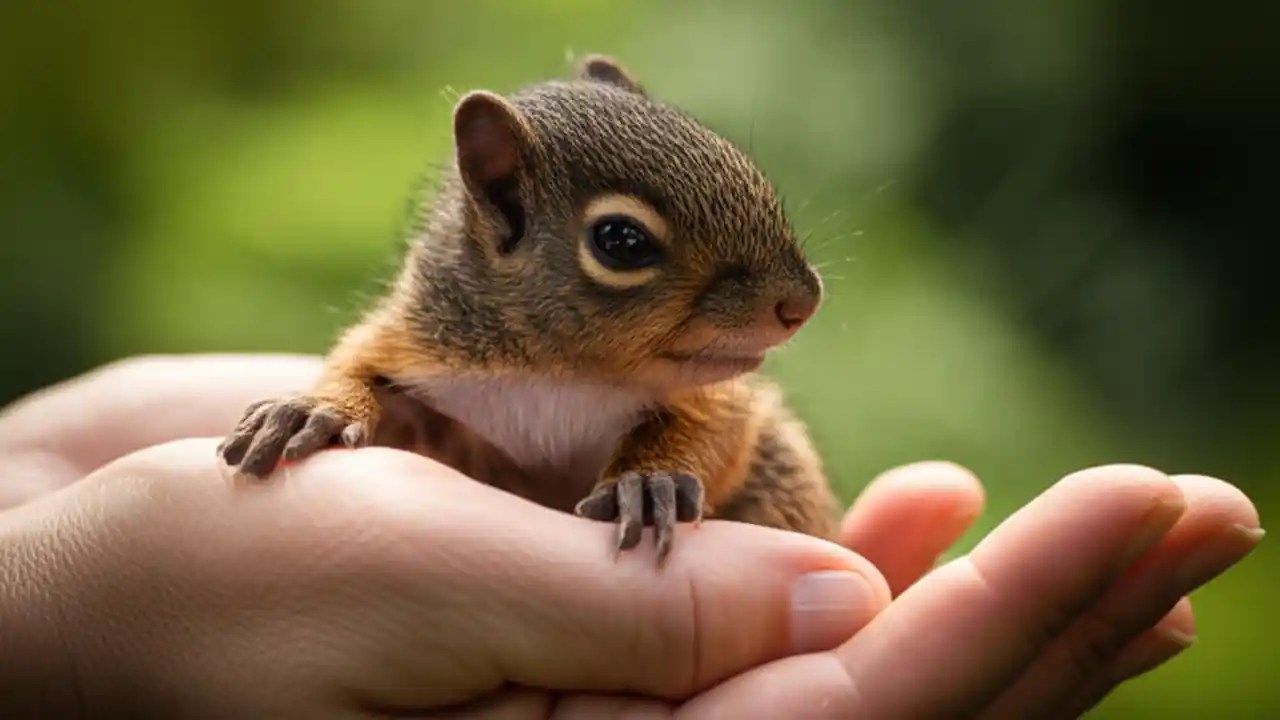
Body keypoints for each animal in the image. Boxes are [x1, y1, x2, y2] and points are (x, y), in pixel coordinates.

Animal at [217, 54, 841, 561]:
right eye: (622, 241)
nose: (803, 301)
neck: (557, 373)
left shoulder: (715, 394)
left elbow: (716, 426)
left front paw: (648, 479)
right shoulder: (421, 357)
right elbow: (361, 371)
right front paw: (314, 408)